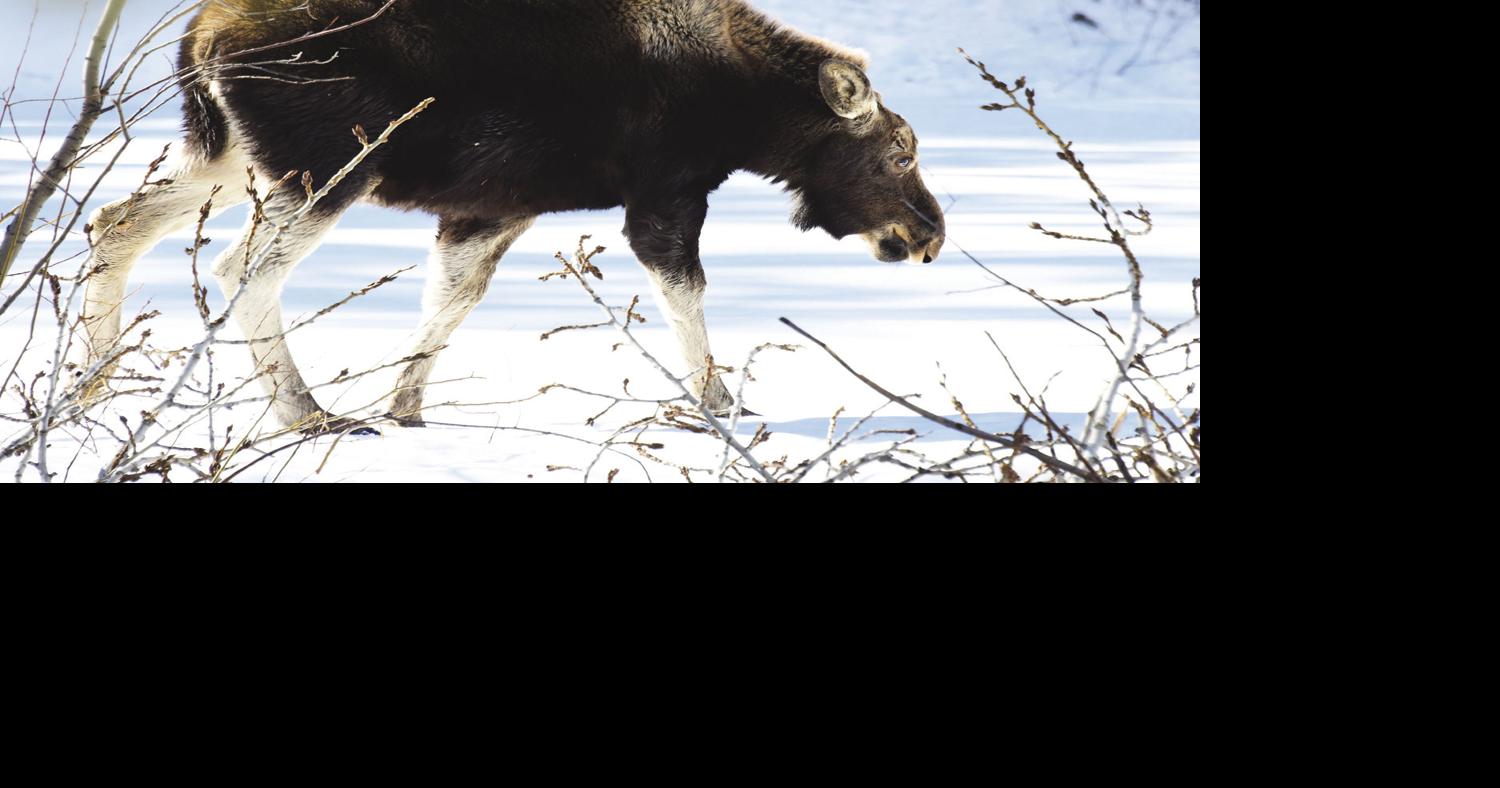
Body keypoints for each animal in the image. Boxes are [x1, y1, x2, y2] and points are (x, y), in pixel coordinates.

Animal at [78, 0, 946, 432]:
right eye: (899, 150)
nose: (929, 234)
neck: (747, 110)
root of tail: (199, 36)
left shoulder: (496, 205)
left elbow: (450, 299)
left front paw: (406, 405)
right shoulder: (663, 193)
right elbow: (687, 296)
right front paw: (719, 403)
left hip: (232, 157)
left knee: (116, 219)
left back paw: (92, 383)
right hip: (330, 165)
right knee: (240, 268)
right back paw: (307, 411)